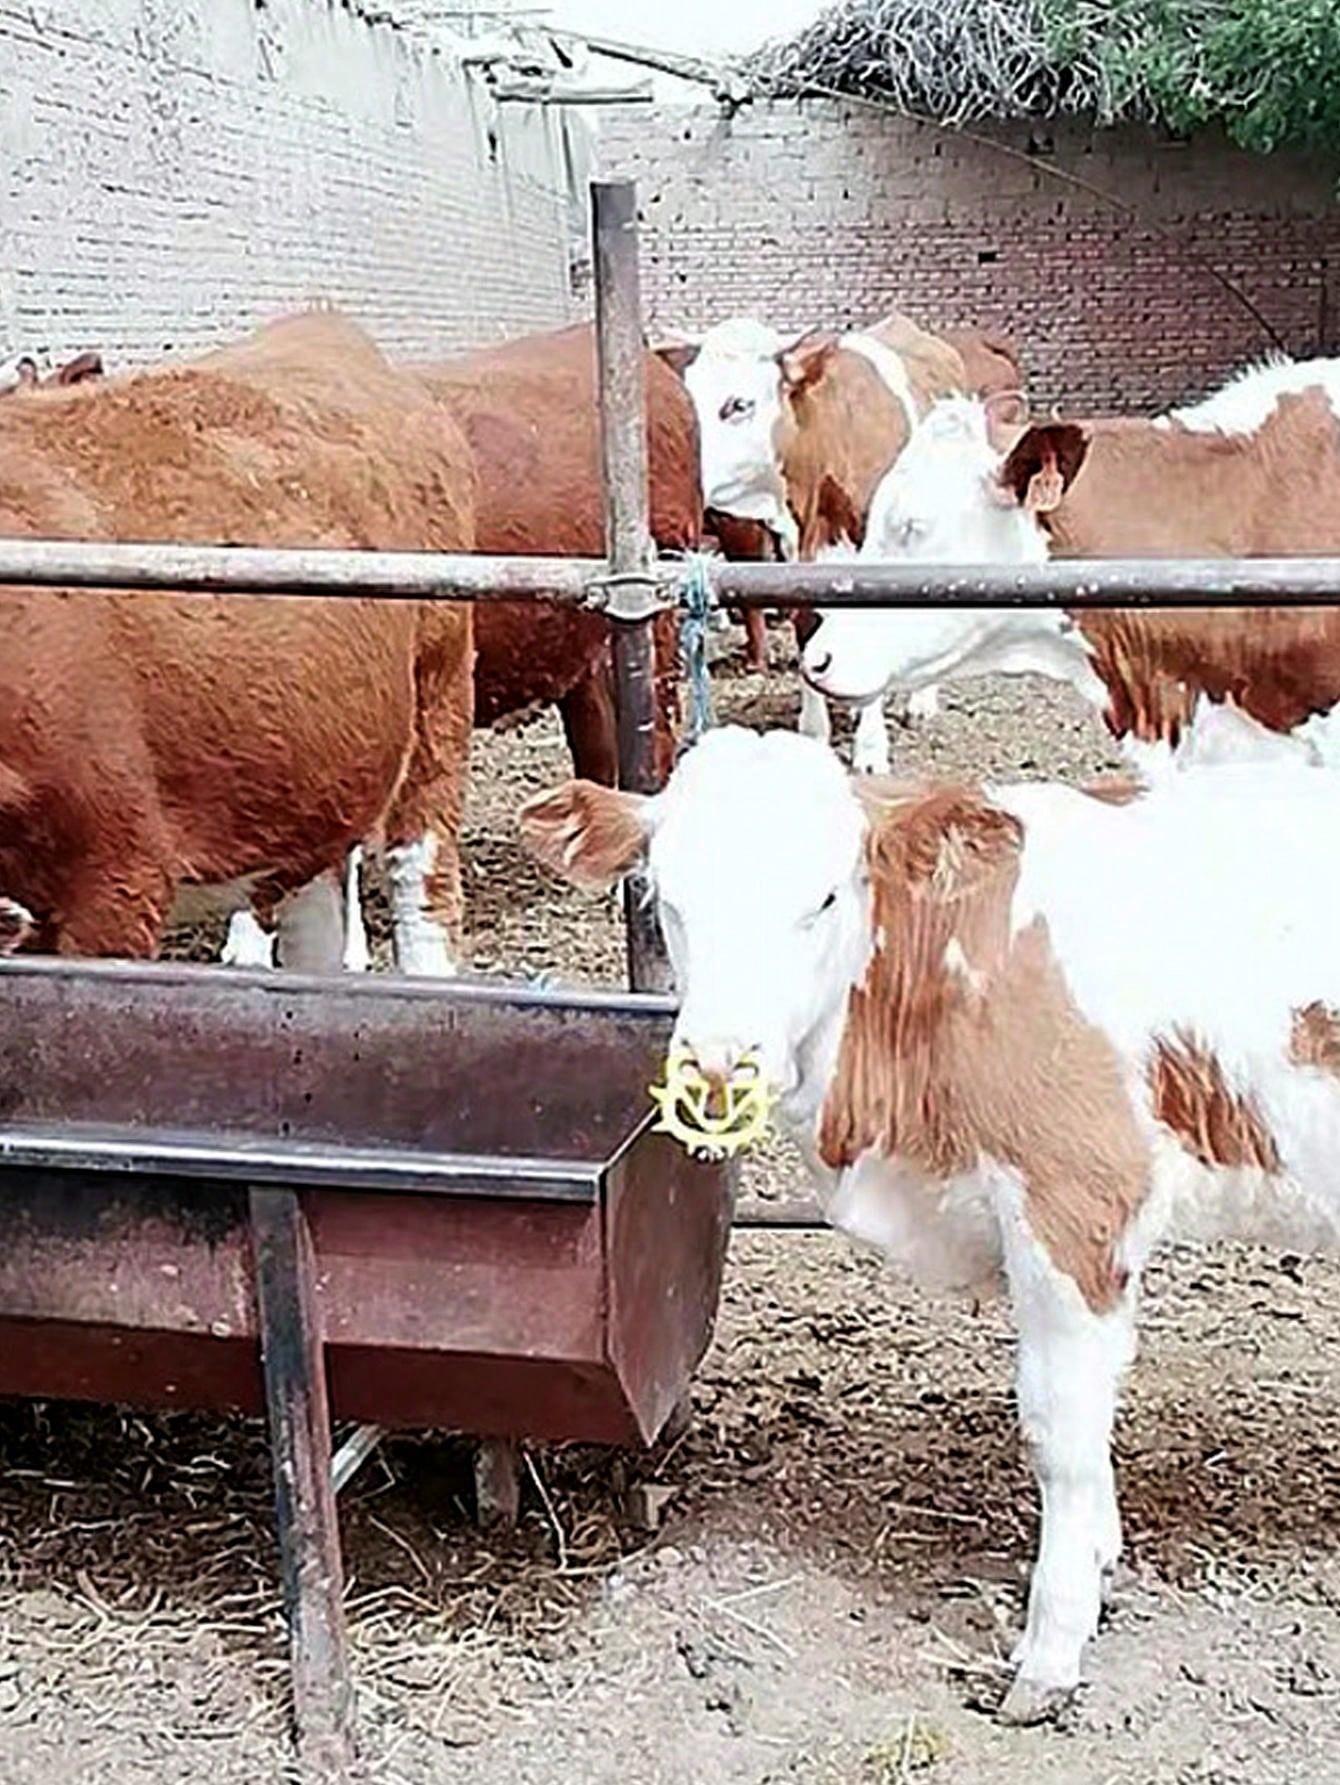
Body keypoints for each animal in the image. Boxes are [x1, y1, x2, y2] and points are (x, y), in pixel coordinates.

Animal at [520, 723, 1340, 1723]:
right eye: (662, 893)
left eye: (824, 896)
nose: (718, 1063)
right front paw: (1100, 1560)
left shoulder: (1074, 1198)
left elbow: (1061, 1429)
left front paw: (1050, 1649)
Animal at [673, 313, 1026, 771]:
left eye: (737, 405)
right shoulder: (796, 557)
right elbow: (806, 627)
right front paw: (814, 730)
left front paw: (871, 749)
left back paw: (920, 701)